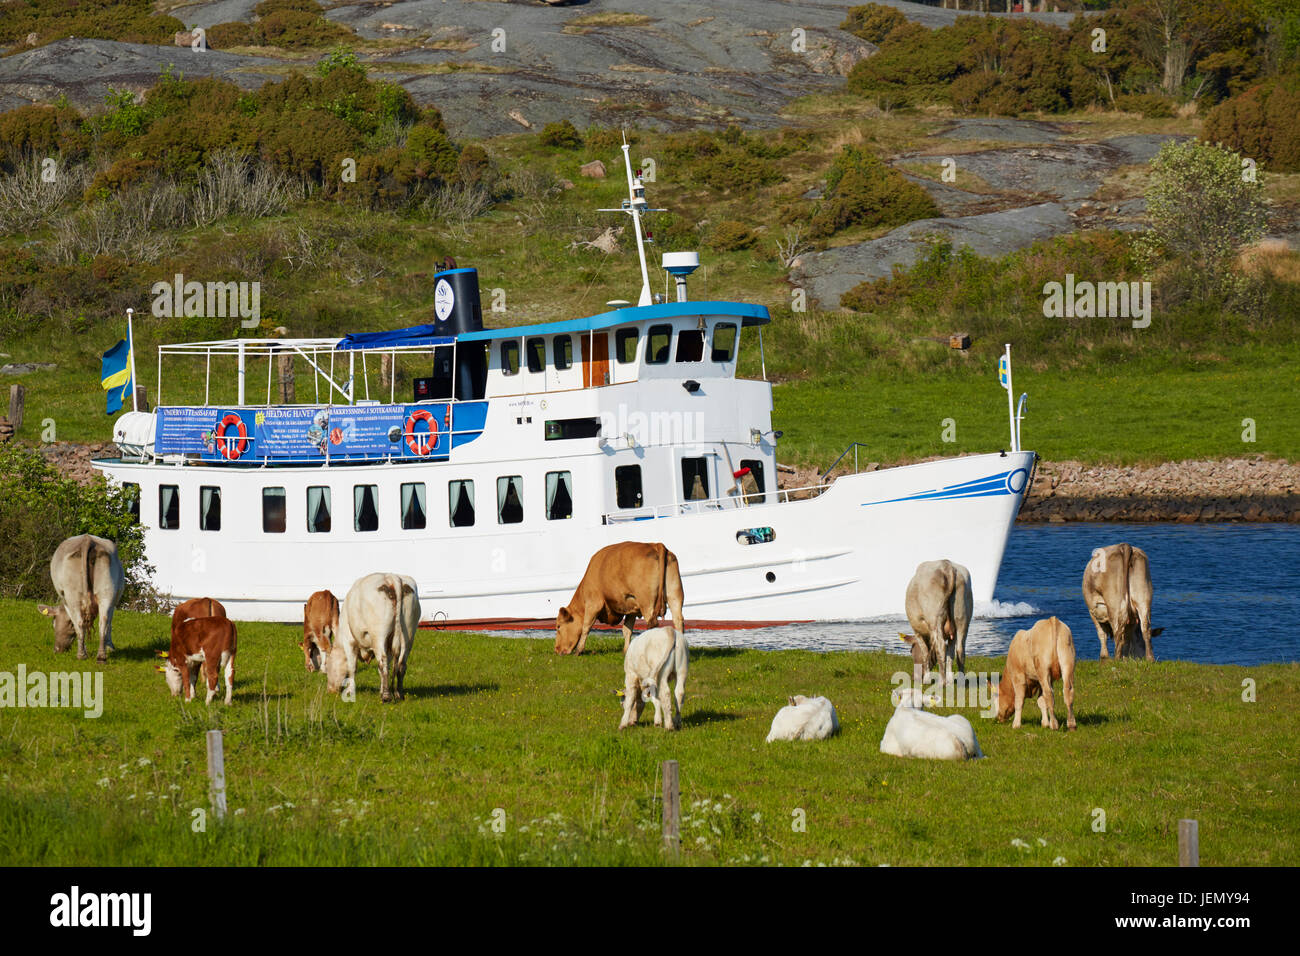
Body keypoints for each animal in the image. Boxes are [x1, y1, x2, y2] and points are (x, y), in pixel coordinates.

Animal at [37, 534, 124, 663]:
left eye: (53, 624)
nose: (57, 650)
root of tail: (87, 539)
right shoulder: (113, 601)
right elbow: (108, 624)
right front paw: (109, 648)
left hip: (73, 596)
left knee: (80, 623)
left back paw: (81, 655)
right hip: (106, 592)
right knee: (103, 622)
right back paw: (101, 656)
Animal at [327, 573, 419, 702]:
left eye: (328, 666)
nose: (329, 690)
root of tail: (392, 578)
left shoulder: (349, 641)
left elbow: (352, 667)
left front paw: (350, 691)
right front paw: (381, 690)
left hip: (379, 636)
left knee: (383, 662)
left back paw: (386, 697)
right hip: (409, 635)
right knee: (401, 665)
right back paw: (399, 694)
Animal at [555, 542, 685, 656]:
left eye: (558, 626)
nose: (556, 650)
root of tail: (655, 545)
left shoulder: (593, 603)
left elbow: (586, 626)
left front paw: (579, 650)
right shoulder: (632, 608)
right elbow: (627, 629)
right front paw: (626, 651)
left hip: (647, 603)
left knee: (652, 624)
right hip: (675, 596)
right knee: (678, 621)